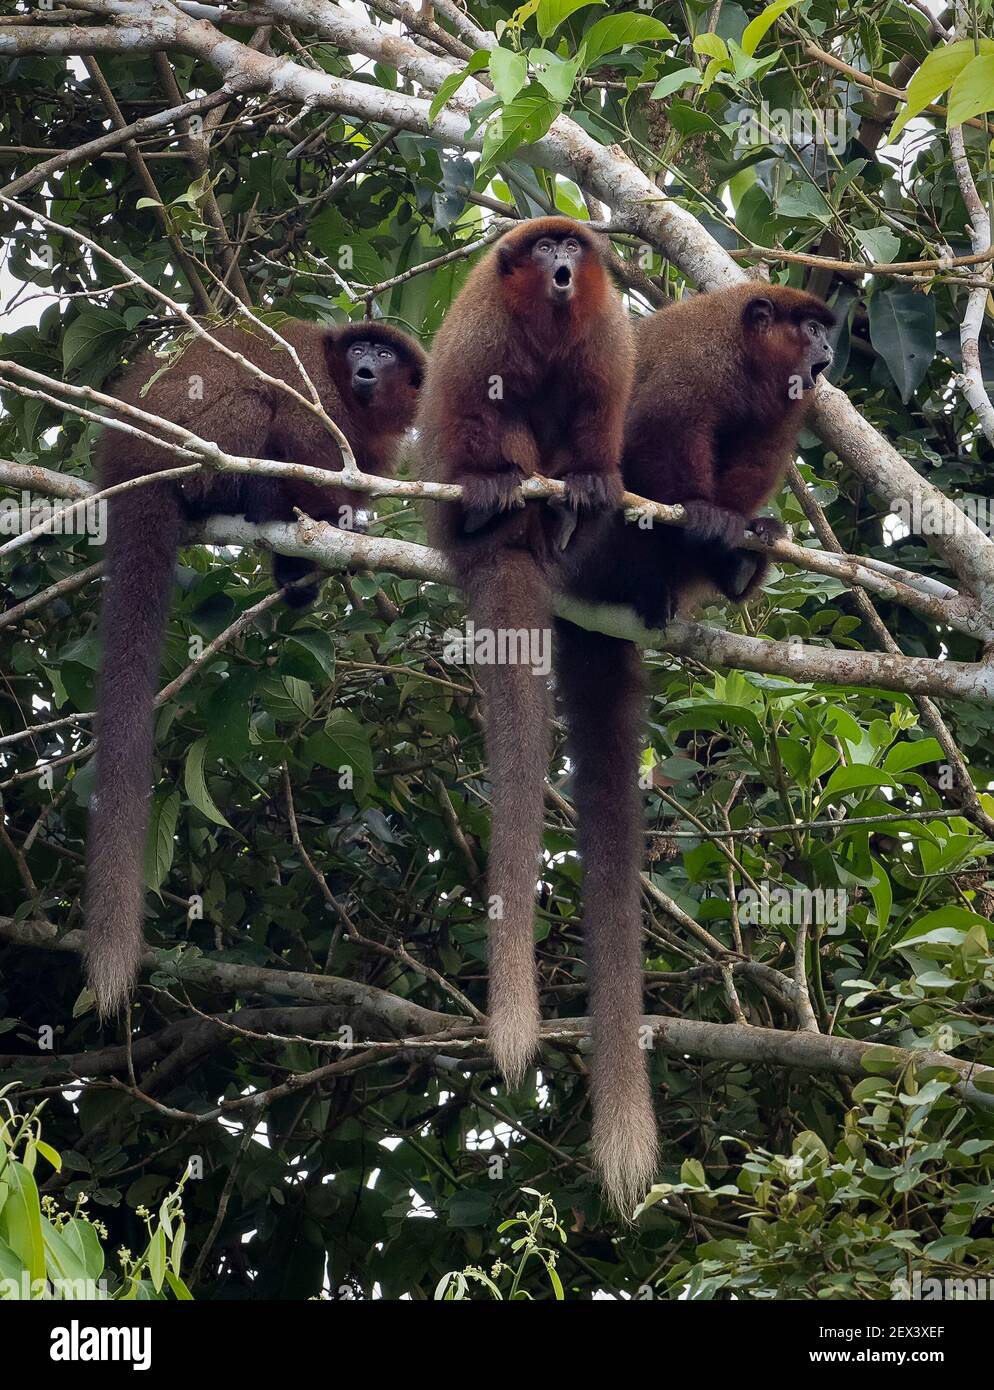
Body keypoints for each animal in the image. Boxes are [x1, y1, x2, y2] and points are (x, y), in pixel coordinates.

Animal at [84, 317, 426, 1020]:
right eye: (360, 350)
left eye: (384, 354)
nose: (367, 366)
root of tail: (128, 459)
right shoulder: (316, 384)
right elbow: (298, 431)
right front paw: (327, 516)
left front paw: (302, 572)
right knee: (254, 406)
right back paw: (261, 498)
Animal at [553, 282, 836, 1209]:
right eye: (809, 326)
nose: (828, 353)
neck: (750, 364)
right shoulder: (698, 360)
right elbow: (656, 436)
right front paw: (706, 518)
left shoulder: (788, 409)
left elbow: (756, 460)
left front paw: (742, 528)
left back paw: (733, 569)